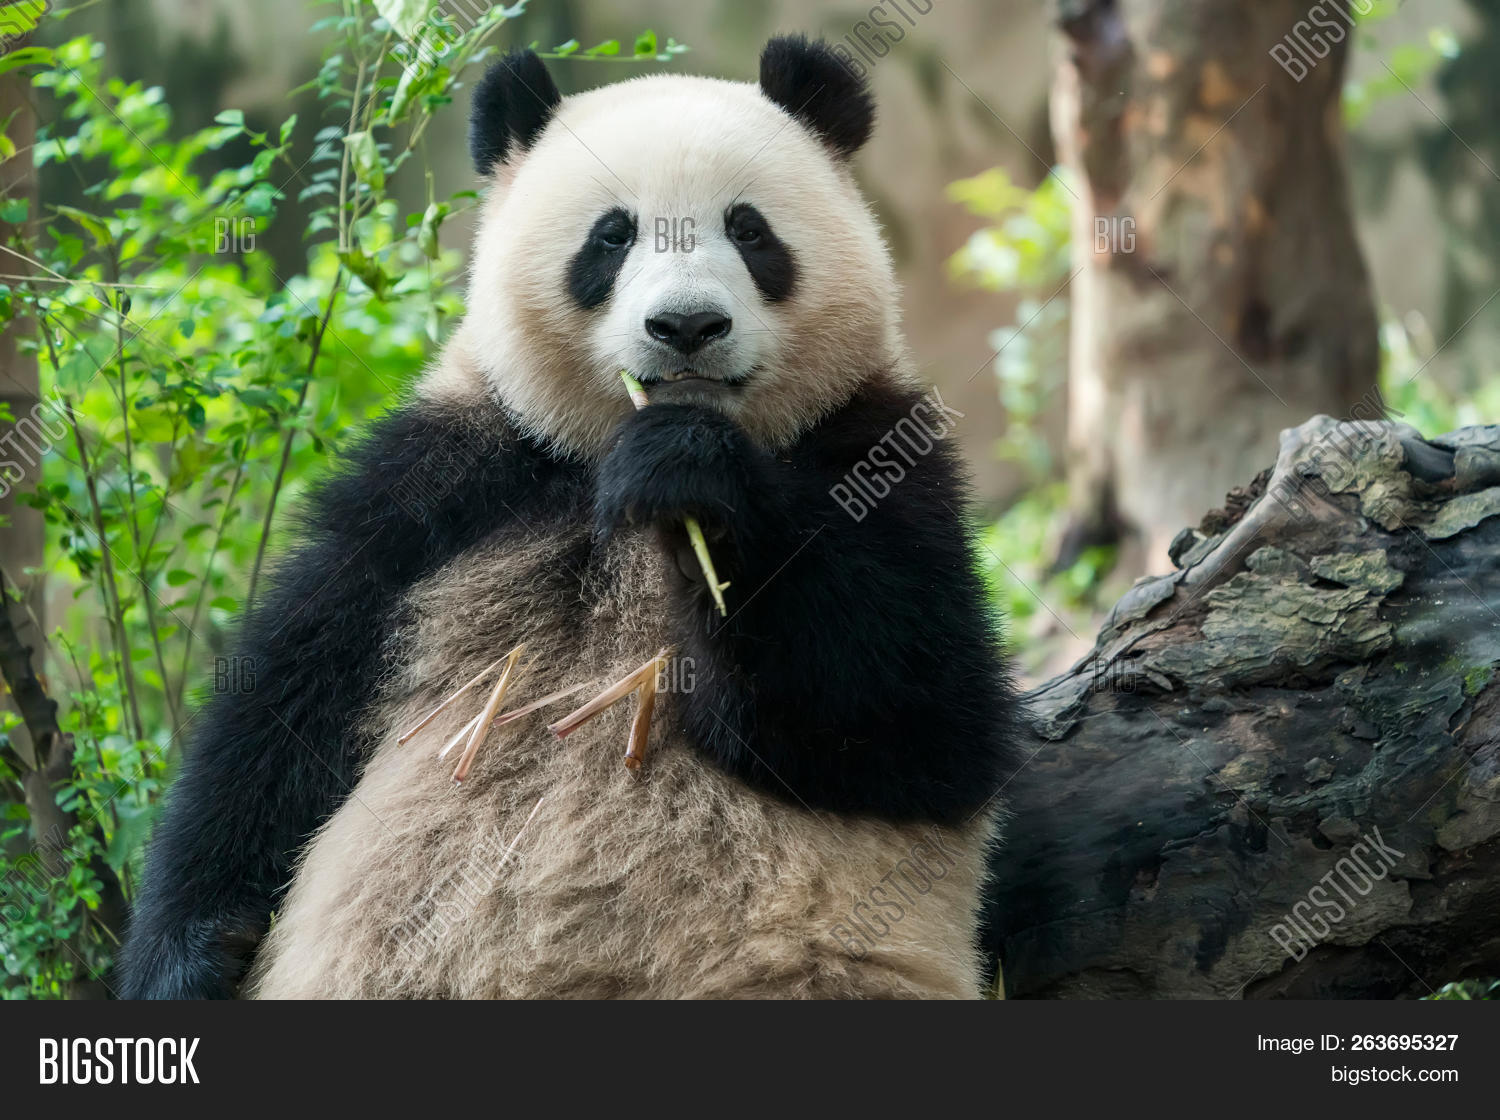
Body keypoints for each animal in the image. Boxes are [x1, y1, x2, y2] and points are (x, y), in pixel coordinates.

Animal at [118, 34, 1018, 1000]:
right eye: (612, 235)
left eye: (749, 230)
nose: (687, 326)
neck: (607, 460)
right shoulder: (454, 481)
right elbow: (289, 696)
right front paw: (189, 959)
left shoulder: (878, 455)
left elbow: (912, 723)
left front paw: (695, 480)